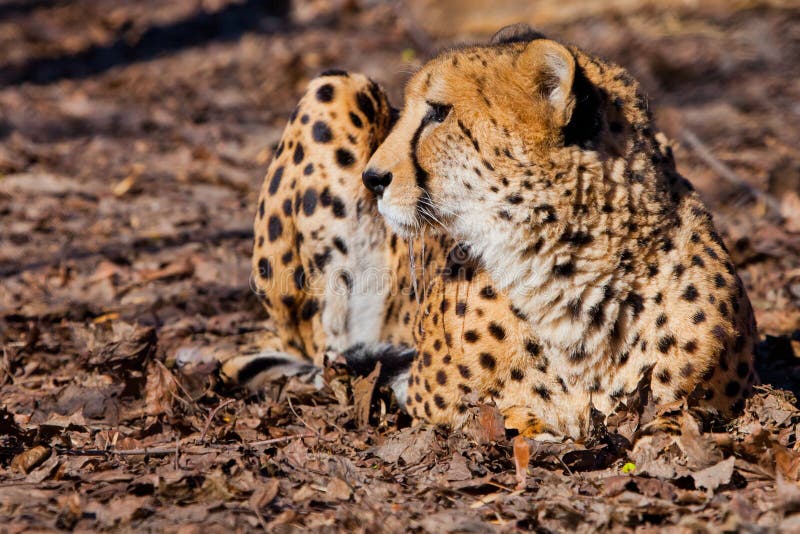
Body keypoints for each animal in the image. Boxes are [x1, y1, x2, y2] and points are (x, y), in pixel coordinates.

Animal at [207, 24, 758, 440]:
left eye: (438, 112)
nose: (372, 177)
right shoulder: (430, 398)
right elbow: (504, 413)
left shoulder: (711, 406)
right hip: (337, 87)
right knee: (320, 347)